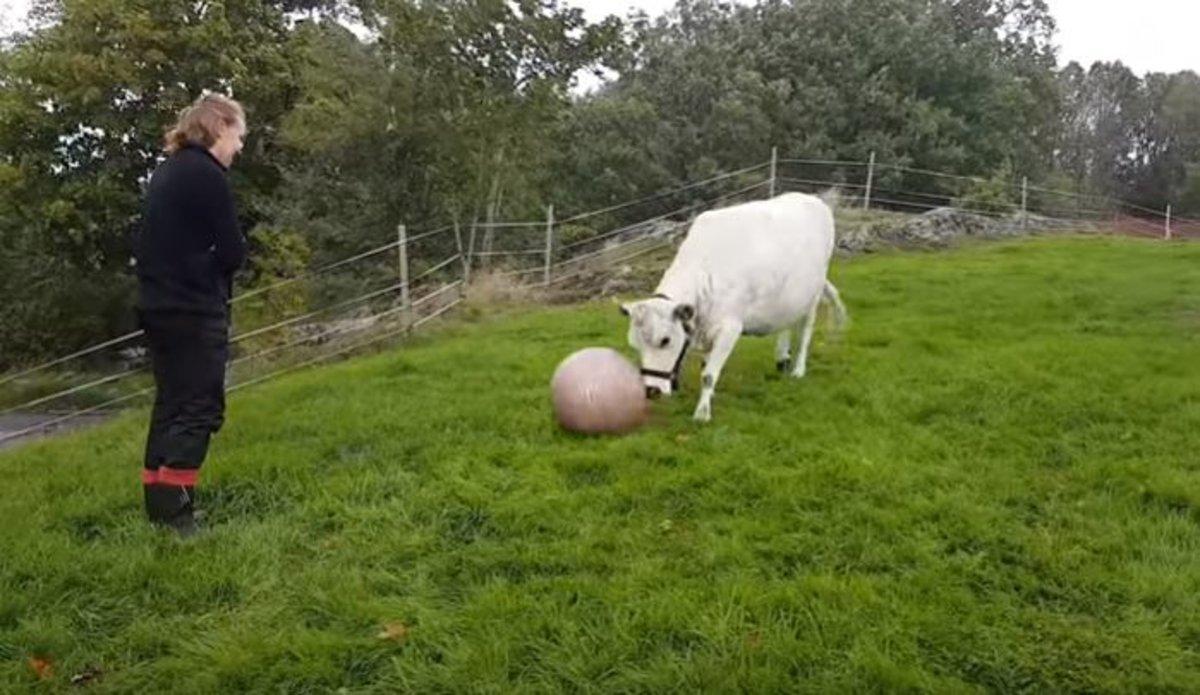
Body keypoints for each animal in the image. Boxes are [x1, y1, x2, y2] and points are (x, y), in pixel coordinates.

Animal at [620, 192, 847, 422]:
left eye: (665, 340)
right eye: (635, 345)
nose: (651, 391)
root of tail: (811, 198)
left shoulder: (730, 328)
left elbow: (708, 375)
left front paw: (702, 414)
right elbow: (706, 367)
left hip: (814, 294)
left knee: (805, 332)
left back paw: (798, 369)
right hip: (789, 298)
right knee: (786, 324)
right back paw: (782, 359)